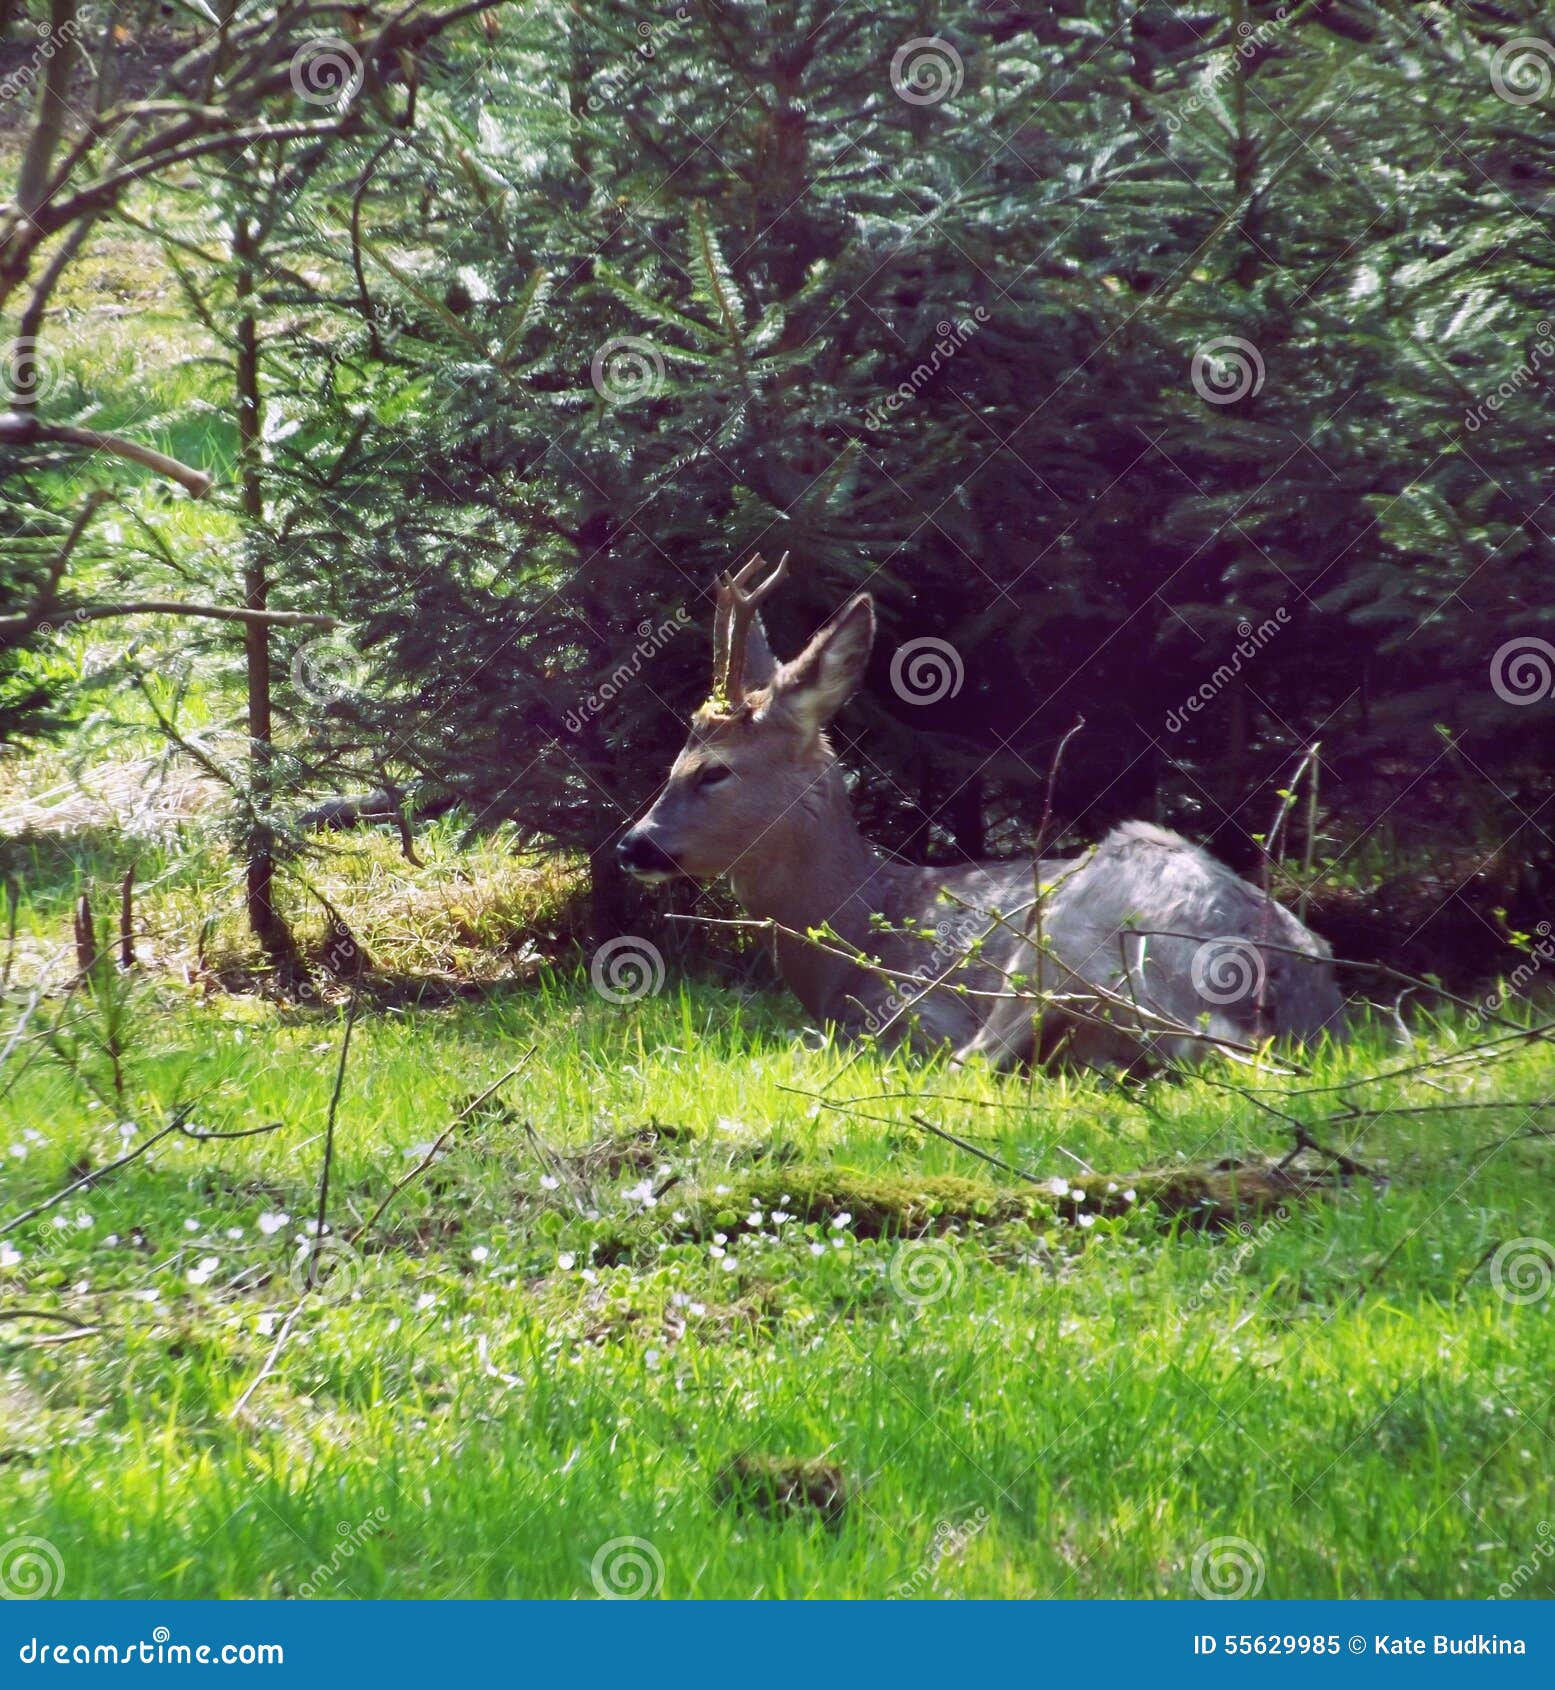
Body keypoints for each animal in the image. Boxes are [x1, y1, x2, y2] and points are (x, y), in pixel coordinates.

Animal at [617, 555, 1344, 1070]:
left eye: (713, 770)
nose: (631, 845)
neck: (854, 921)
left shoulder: (909, 1006)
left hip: (1071, 936)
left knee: (974, 1061)